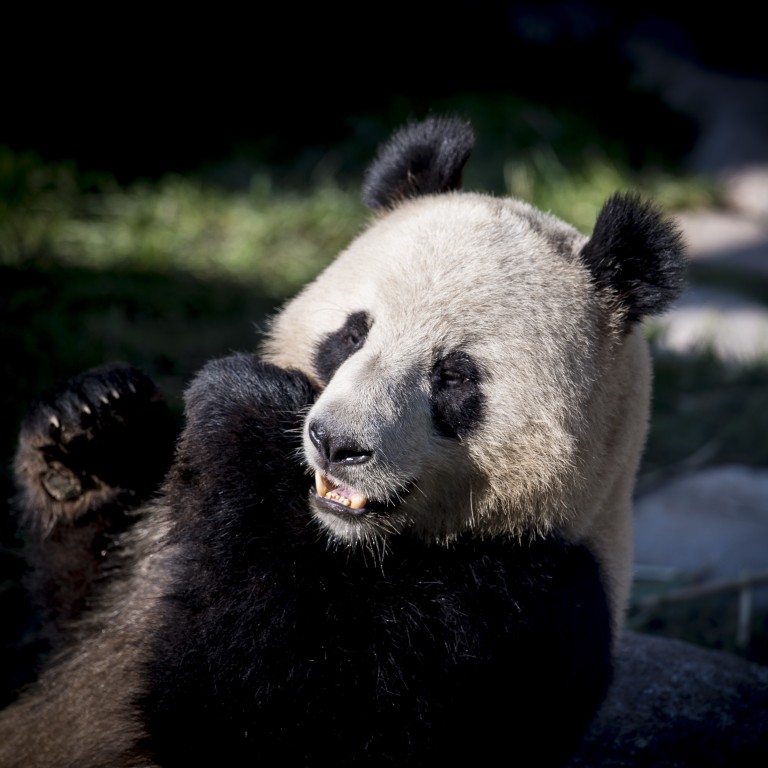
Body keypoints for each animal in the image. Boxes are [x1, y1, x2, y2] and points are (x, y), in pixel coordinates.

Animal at [0, 115, 686, 768]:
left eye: (454, 376)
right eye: (353, 335)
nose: (336, 444)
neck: (348, 541)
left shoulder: (521, 614)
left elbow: (268, 715)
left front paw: (243, 405)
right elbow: (79, 614)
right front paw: (91, 428)